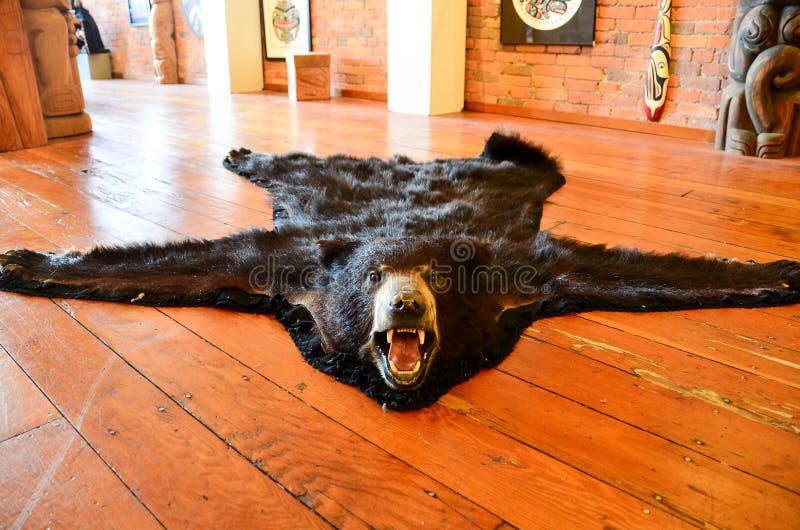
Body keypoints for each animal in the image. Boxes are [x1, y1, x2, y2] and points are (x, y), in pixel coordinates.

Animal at [1, 132, 798, 410]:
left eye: (439, 280)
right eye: (375, 277)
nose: (406, 307)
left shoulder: (518, 274)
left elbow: (617, 271)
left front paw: (781, 272)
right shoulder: (294, 268)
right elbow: (193, 263)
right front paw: (26, 260)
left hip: (518, 187)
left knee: (532, 164)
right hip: (322, 188)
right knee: (298, 167)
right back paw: (245, 155)